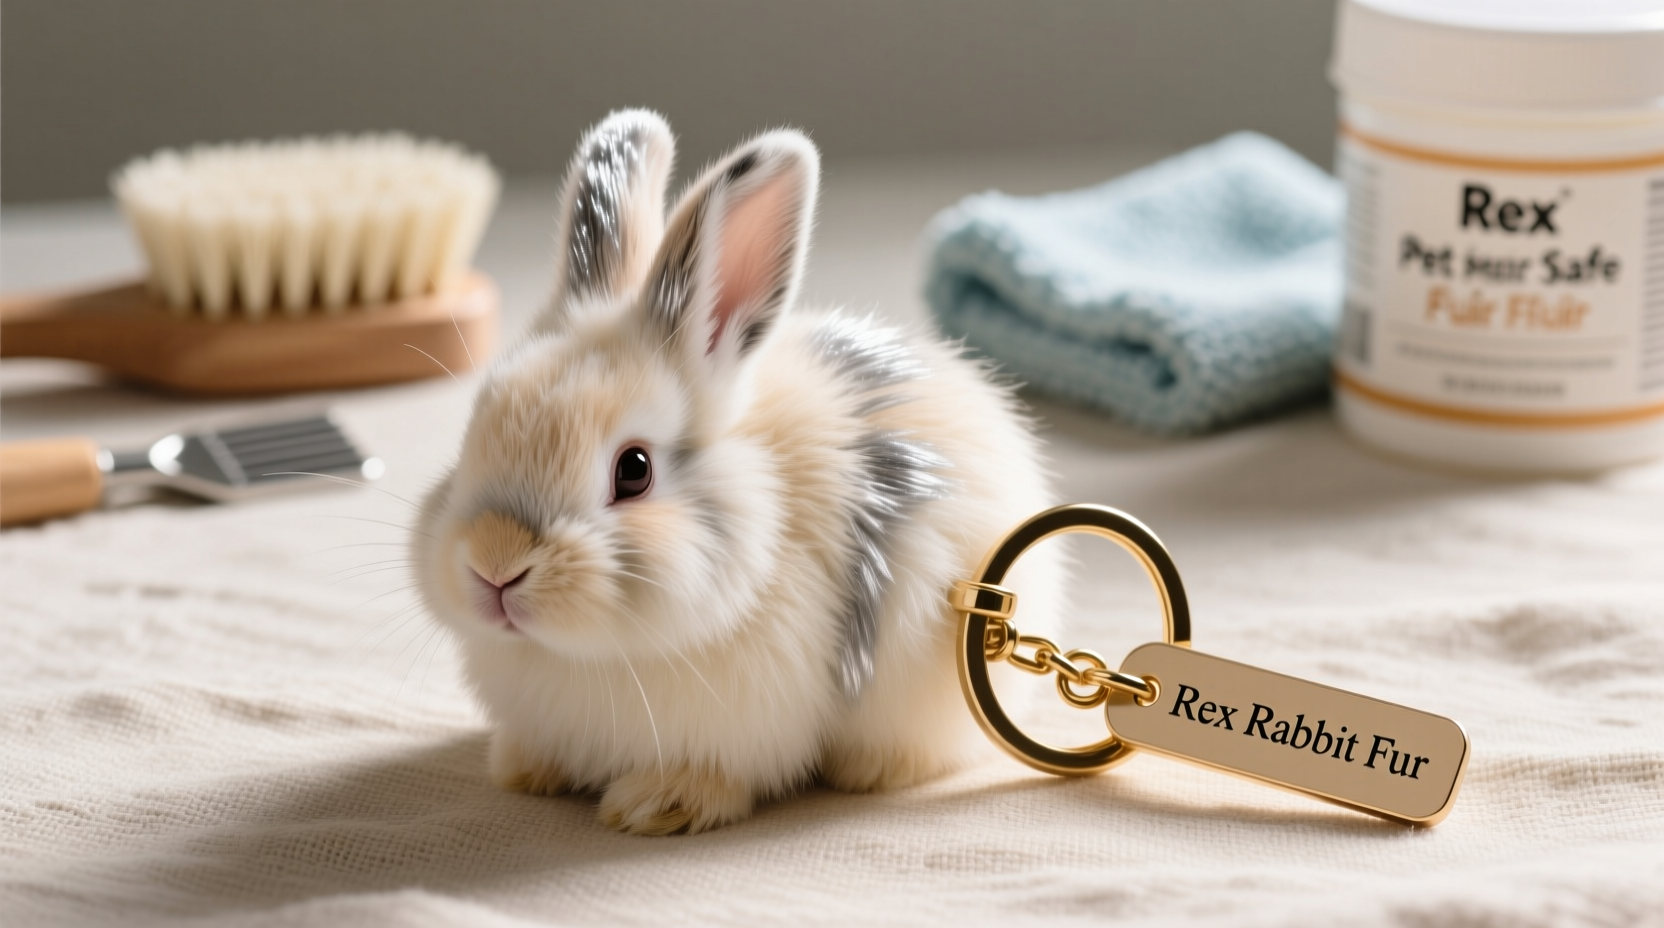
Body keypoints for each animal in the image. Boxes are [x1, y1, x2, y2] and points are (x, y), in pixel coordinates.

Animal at [412, 109, 1062, 835]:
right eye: (472, 433)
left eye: (634, 470)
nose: (494, 567)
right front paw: (525, 772)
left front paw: (655, 806)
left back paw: (870, 770)